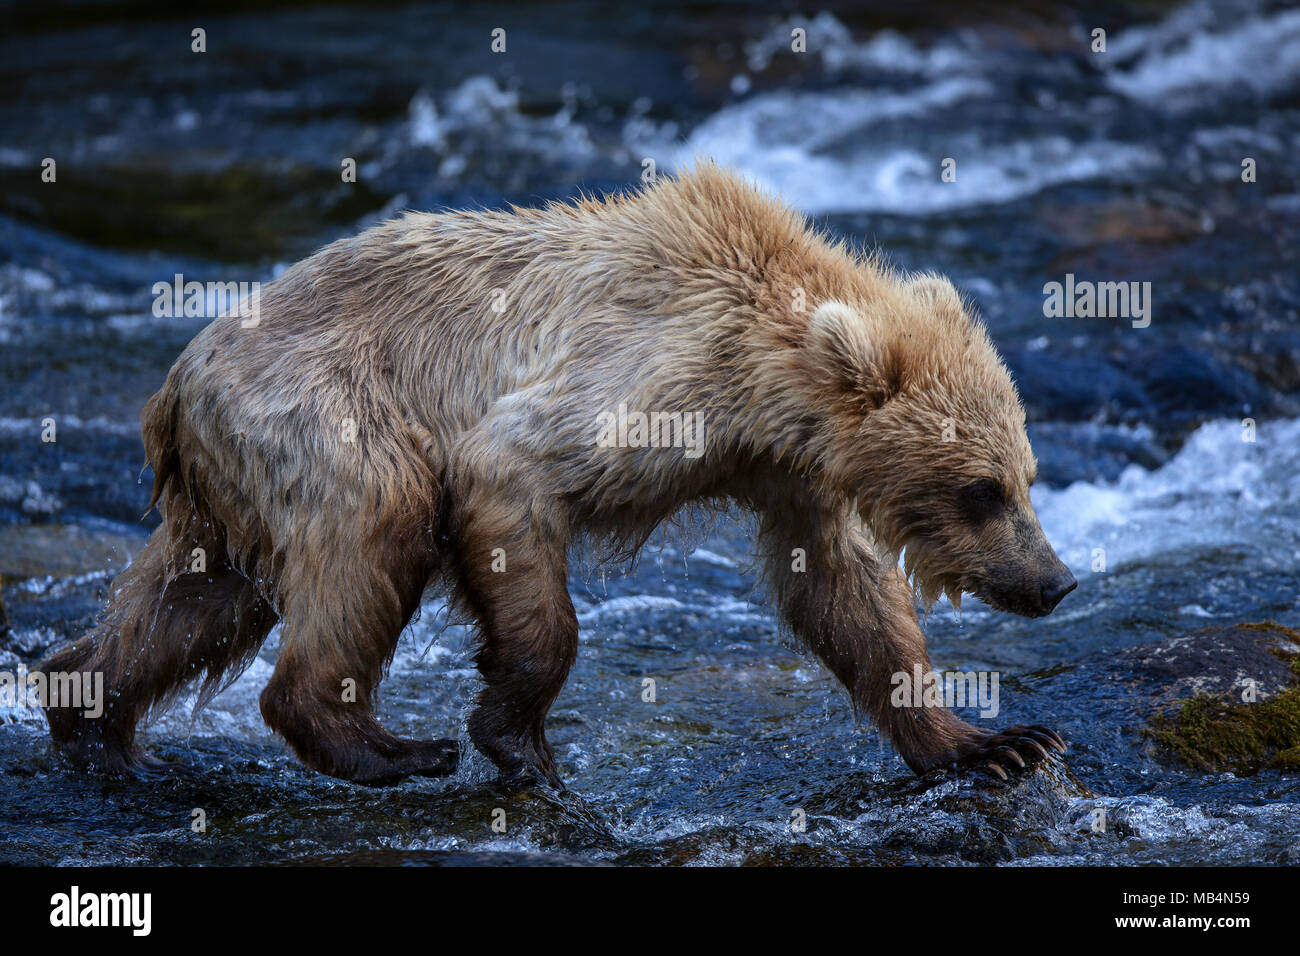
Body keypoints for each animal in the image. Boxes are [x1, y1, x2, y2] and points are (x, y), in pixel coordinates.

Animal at [41, 163, 1074, 787]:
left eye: (1027, 475)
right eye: (981, 490)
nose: (1055, 581)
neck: (767, 388)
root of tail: (178, 378)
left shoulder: (797, 479)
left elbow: (847, 598)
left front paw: (999, 743)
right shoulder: (650, 377)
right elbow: (510, 475)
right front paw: (518, 735)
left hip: (234, 481)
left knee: (191, 600)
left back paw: (89, 713)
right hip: (321, 409)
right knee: (375, 522)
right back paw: (389, 747)